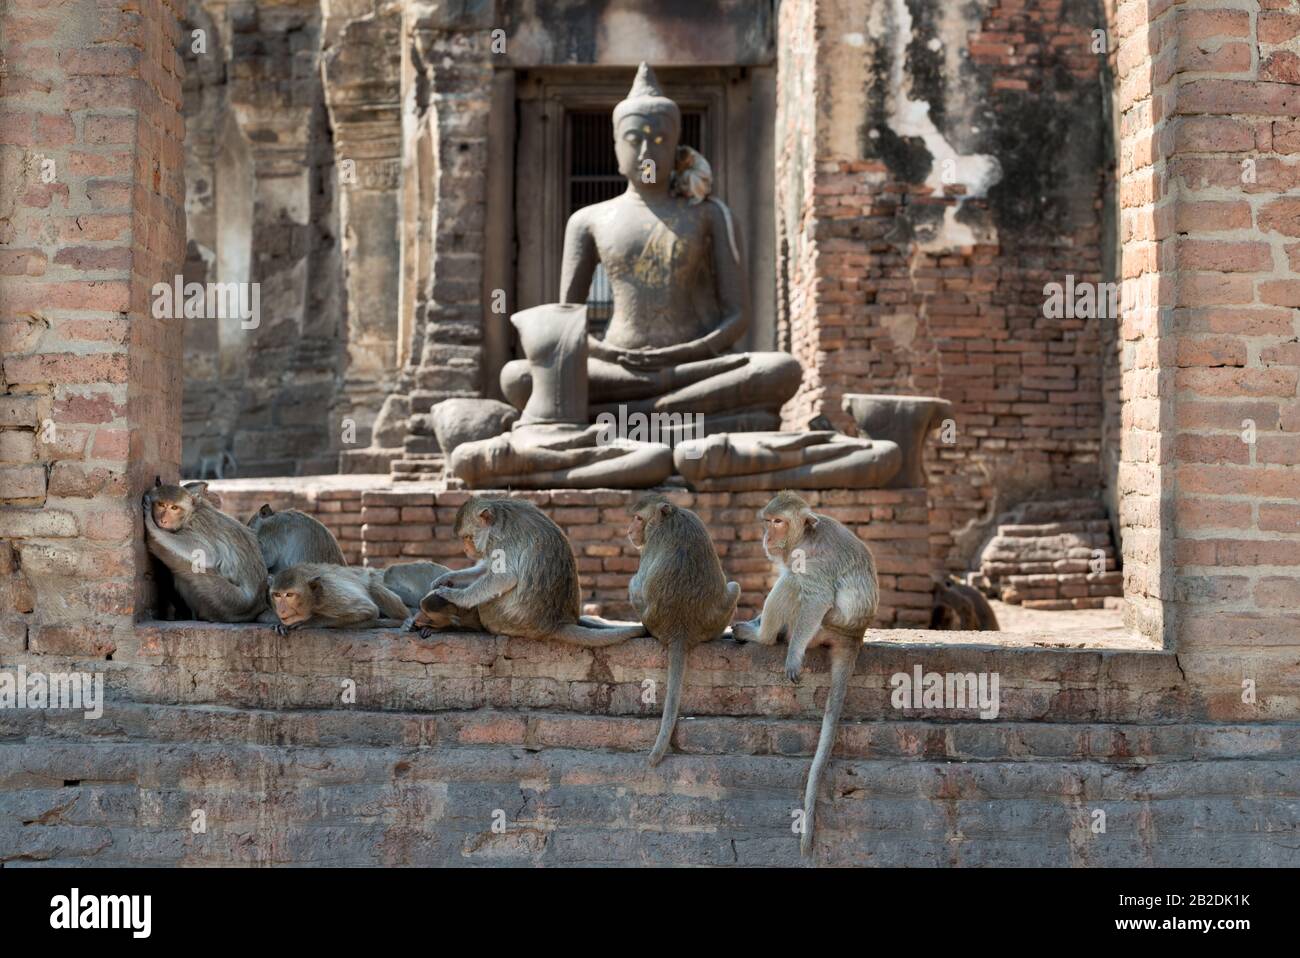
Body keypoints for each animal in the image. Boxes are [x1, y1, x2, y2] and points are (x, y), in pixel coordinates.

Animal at [143, 482, 269, 623]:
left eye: (174, 507)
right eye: (161, 504)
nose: (163, 520)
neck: (191, 513)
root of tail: (258, 605)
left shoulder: (197, 525)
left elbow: (208, 554)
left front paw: (150, 523)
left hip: (228, 600)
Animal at [263, 563, 410, 633]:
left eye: (289, 595)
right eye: (277, 595)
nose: (281, 610)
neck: (313, 599)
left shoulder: (331, 596)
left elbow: (368, 609)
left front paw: (309, 622)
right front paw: (281, 625)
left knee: (373, 586)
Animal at [423, 496, 646, 647]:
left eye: (467, 537)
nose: (466, 550)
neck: (498, 517)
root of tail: (554, 624)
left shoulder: (501, 541)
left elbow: (503, 577)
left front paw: (454, 596)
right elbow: (487, 568)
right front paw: (448, 578)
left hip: (502, 618)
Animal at [627, 494, 740, 766]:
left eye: (638, 518)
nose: (629, 530)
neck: (669, 516)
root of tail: (680, 630)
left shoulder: (650, 542)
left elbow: (638, 583)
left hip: (656, 620)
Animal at [732, 491, 877, 858]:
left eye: (778, 522)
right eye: (767, 521)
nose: (766, 536)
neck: (804, 535)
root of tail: (854, 635)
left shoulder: (810, 560)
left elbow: (815, 595)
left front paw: (792, 654)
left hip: (822, 629)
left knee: (793, 583)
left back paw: (763, 636)